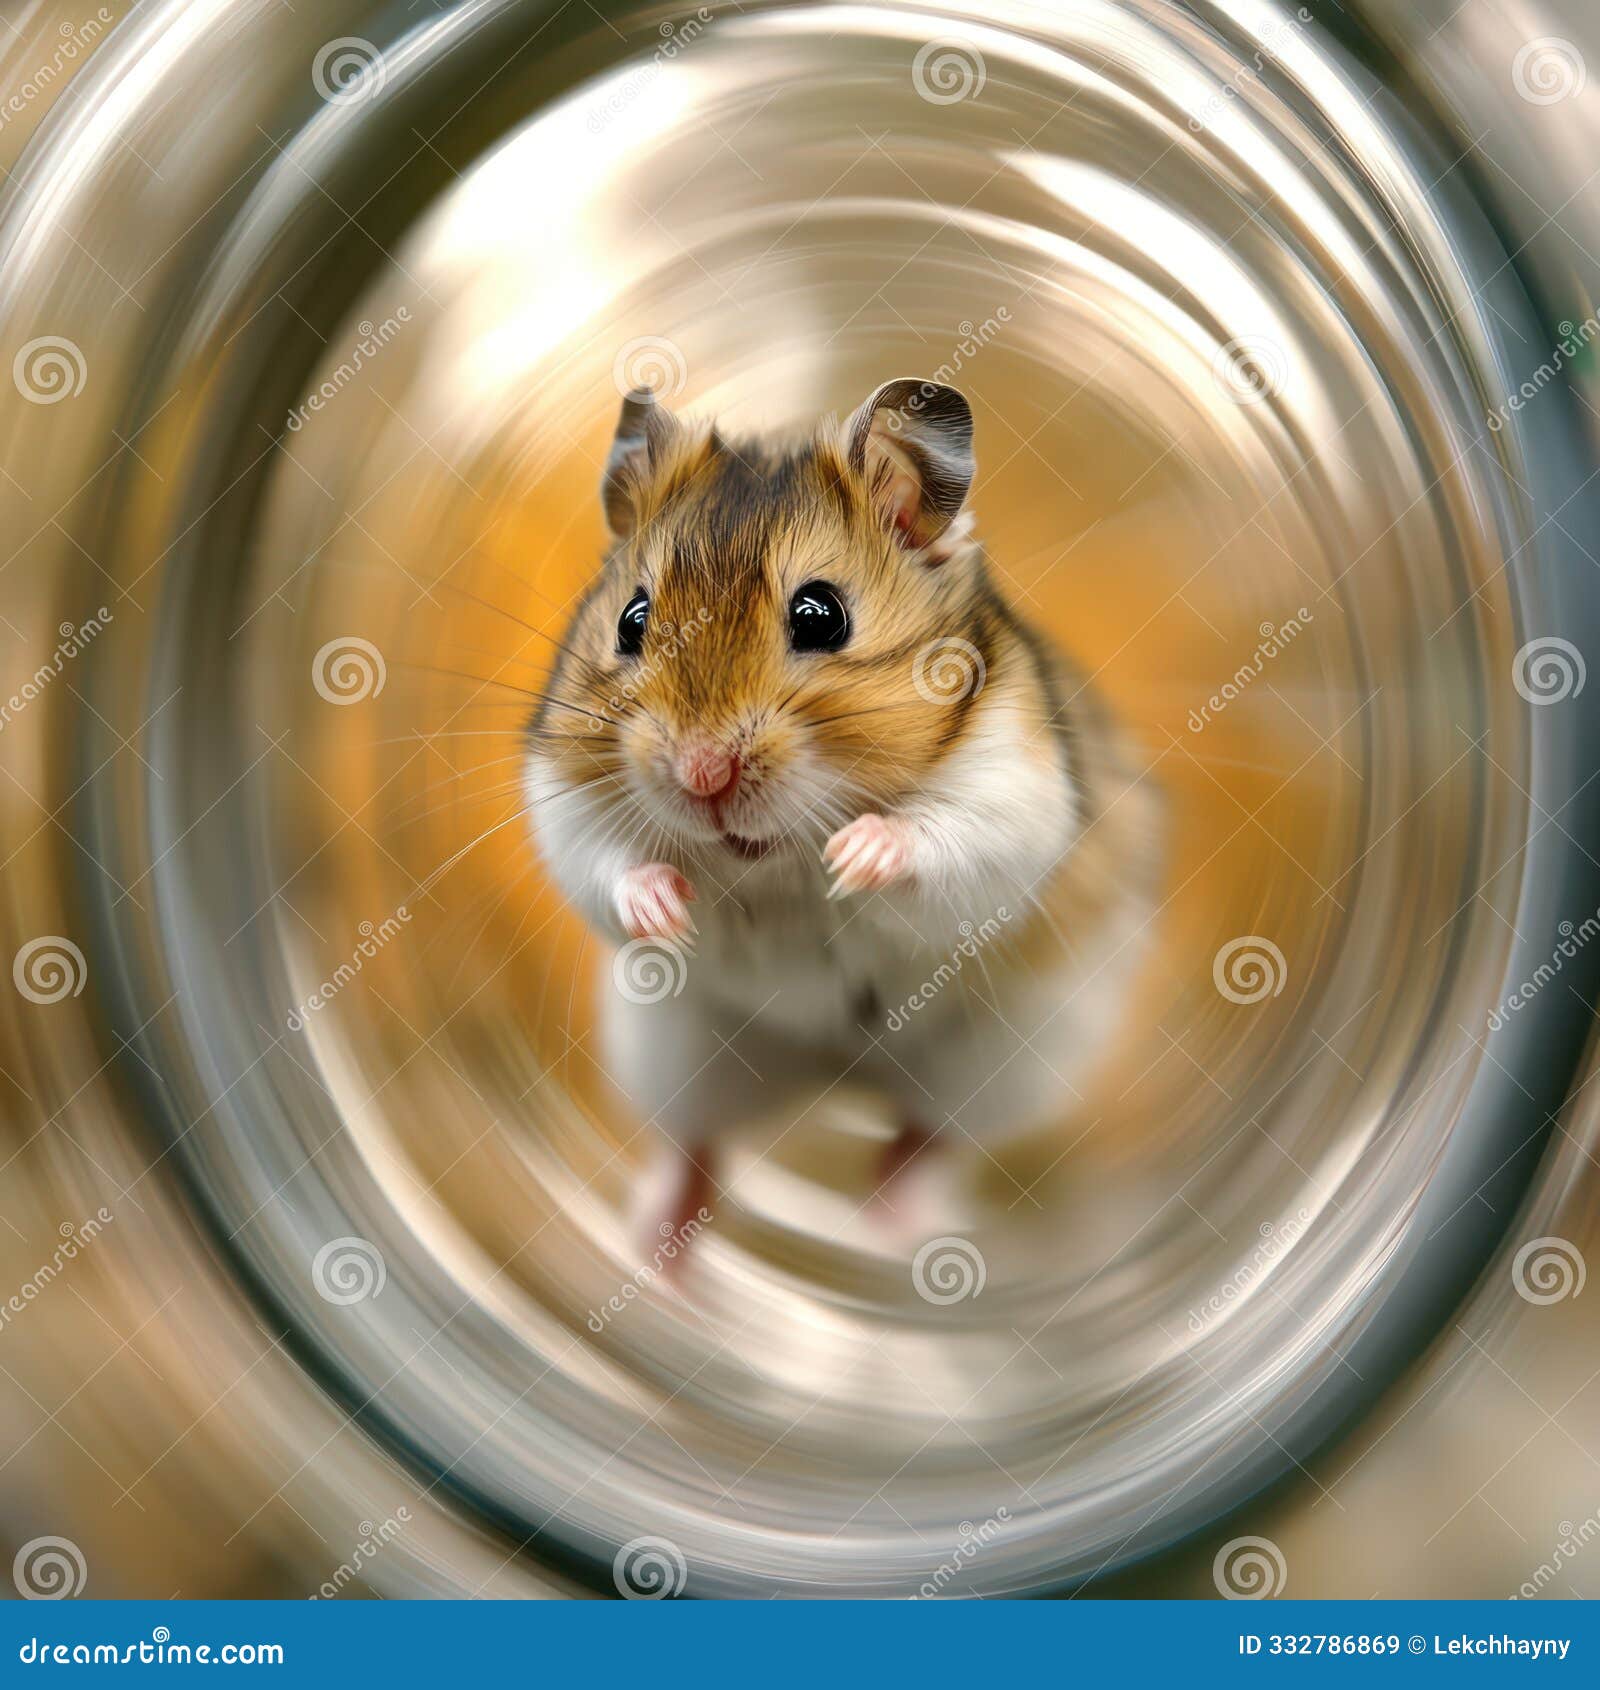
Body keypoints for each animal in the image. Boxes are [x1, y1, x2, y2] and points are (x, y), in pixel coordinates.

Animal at [527, 375, 1160, 1258]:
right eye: (632, 621)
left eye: (819, 615)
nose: (701, 773)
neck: (775, 860)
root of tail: (839, 1080)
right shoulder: (561, 797)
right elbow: (603, 863)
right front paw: (670, 910)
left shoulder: (1015, 790)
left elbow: (941, 838)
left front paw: (851, 857)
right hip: (678, 1056)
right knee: (699, 1145)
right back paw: (656, 1246)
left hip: (1009, 1063)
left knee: (930, 1139)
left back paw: (894, 1228)